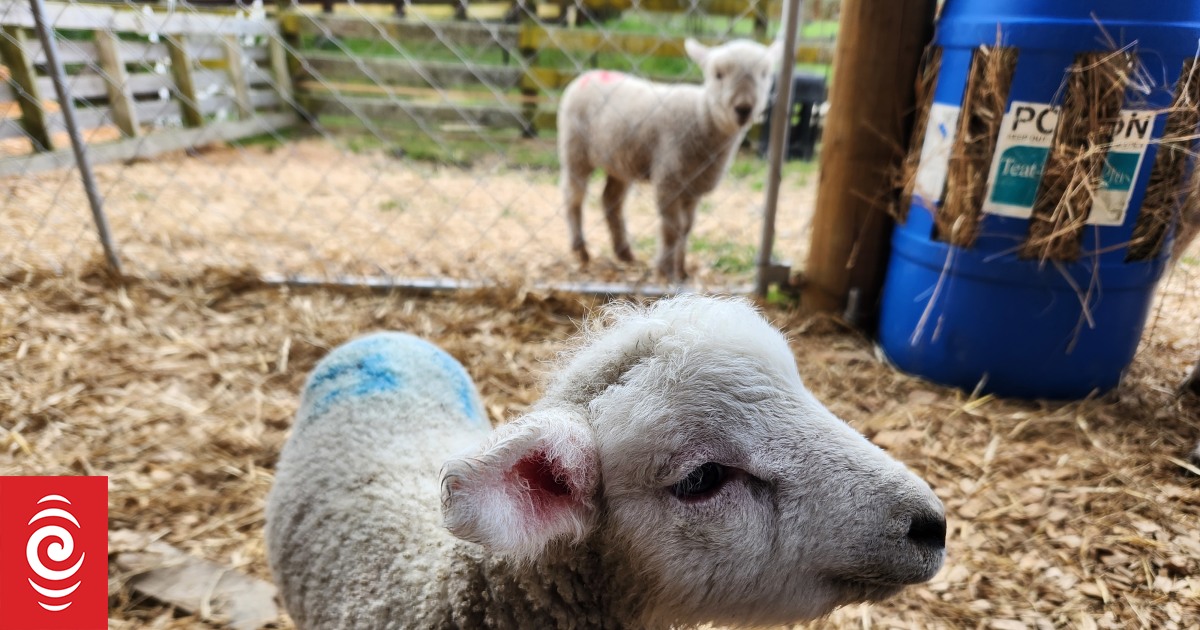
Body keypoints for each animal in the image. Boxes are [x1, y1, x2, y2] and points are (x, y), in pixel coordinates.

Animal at [558, 38, 783, 281]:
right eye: (718, 75)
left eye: (764, 74)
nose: (743, 109)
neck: (701, 116)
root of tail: (588, 74)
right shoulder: (669, 180)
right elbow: (671, 230)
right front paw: (665, 272)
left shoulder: (693, 188)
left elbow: (686, 228)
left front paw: (681, 271)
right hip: (575, 148)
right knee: (573, 196)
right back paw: (580, 250)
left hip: (619, 159)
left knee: (610, 200)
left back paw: (624, 253)